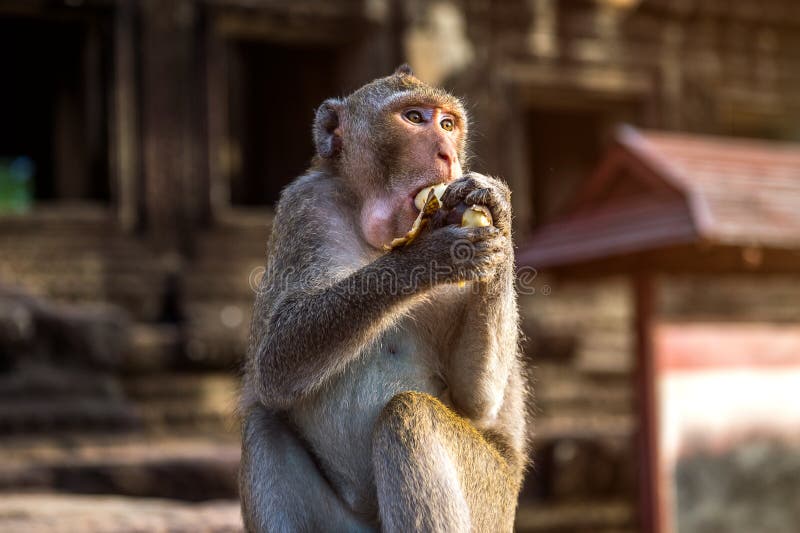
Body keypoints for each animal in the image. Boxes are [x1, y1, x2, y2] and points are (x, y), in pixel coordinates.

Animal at [239, 65, 529, 532]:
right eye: (414, 118)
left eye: (448, 124)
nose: (447, 154)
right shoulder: (303, 207)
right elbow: (275, 363)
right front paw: (429, 256)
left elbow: (478, 399)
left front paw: (497, 207)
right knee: (264, 423)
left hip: (492, 500)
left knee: (410, 415)